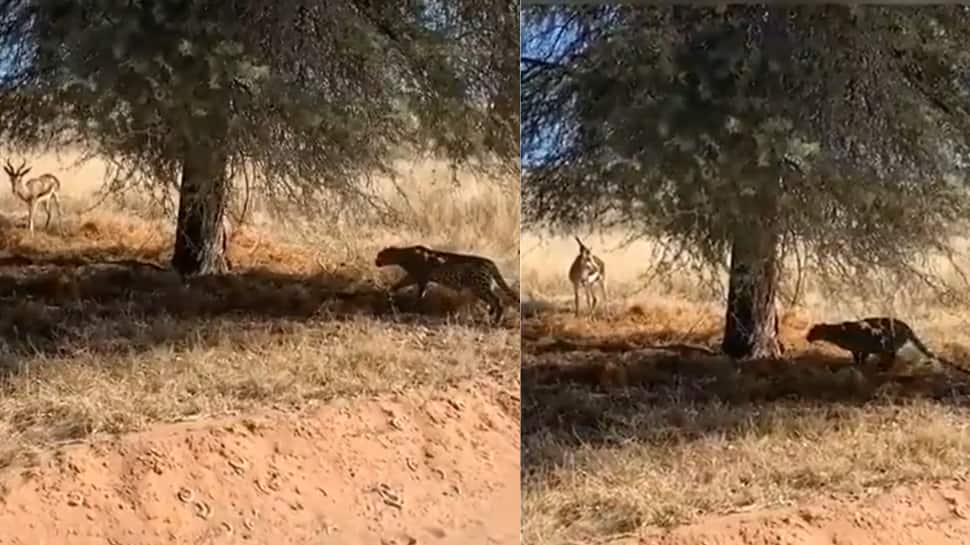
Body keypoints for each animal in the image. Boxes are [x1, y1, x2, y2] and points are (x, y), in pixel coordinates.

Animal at [375, 245, 518, 324]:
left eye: (379, 255)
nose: (375, 261)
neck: (403, 255)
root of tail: (489, 261)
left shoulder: (422, 279)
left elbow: (420, 296)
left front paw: (417, 309)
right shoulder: (412, 277)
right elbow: (396, 286)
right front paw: (390, 294)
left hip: (480, 287)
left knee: (497, 300)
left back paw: (496, 320)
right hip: (479, 288)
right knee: (492, 301)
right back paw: (491, 314)